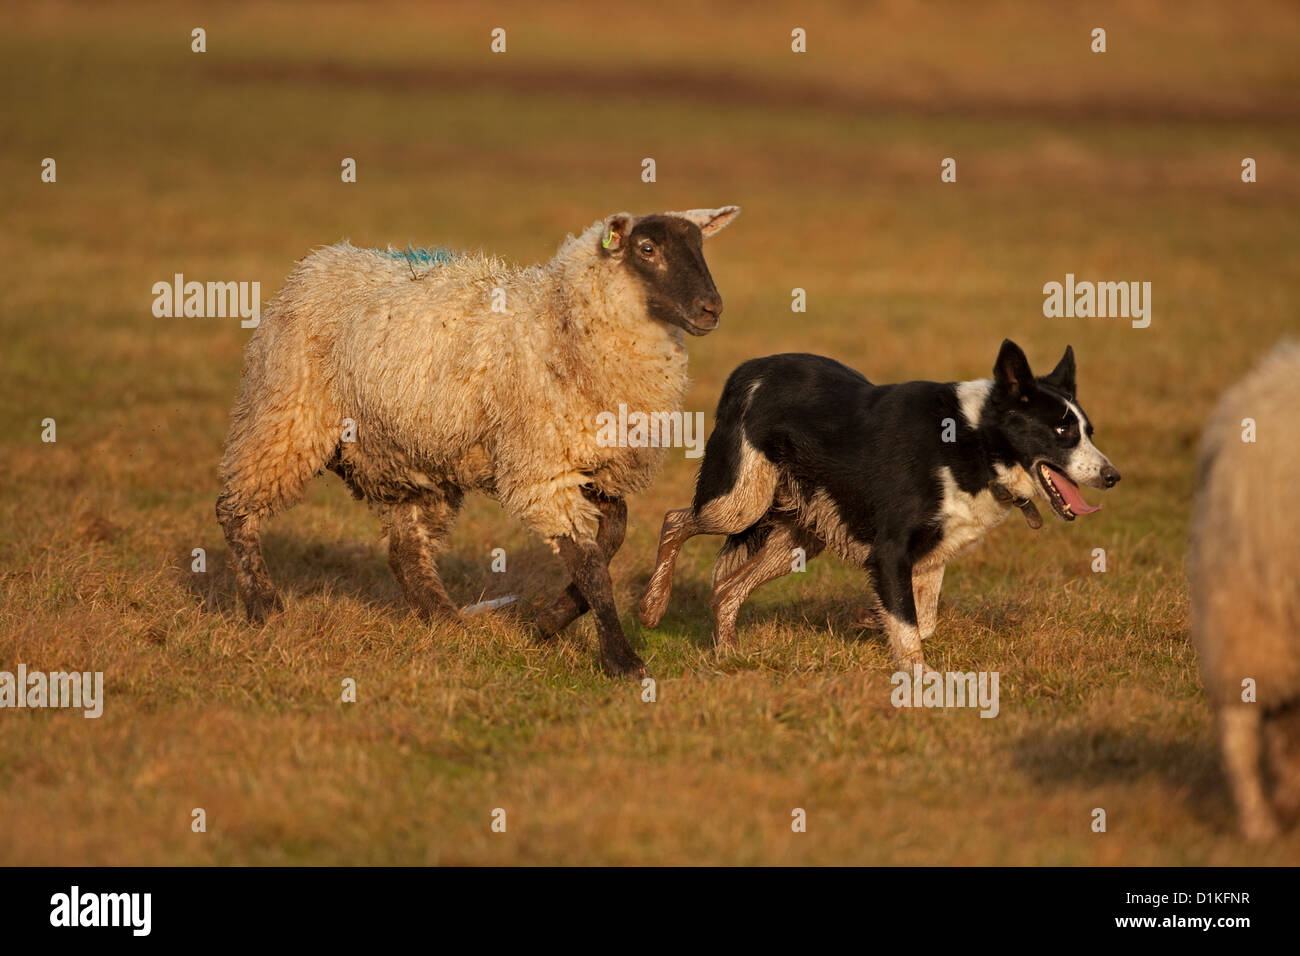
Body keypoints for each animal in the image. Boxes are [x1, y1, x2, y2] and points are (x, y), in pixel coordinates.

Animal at [216, 206, 740, 677]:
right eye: (647, 249)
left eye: (700, 246)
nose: (712, 309)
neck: (559, 319)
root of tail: (320, 260)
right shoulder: (541, 471)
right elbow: (592, 564)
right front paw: (622, 661)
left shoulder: (595, 468)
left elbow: (611, 541)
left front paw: (548, 621)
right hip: (284, 414)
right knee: (234, 508)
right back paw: (264, 607)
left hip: (410, 456)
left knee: (405, 548)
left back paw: (446, 622)